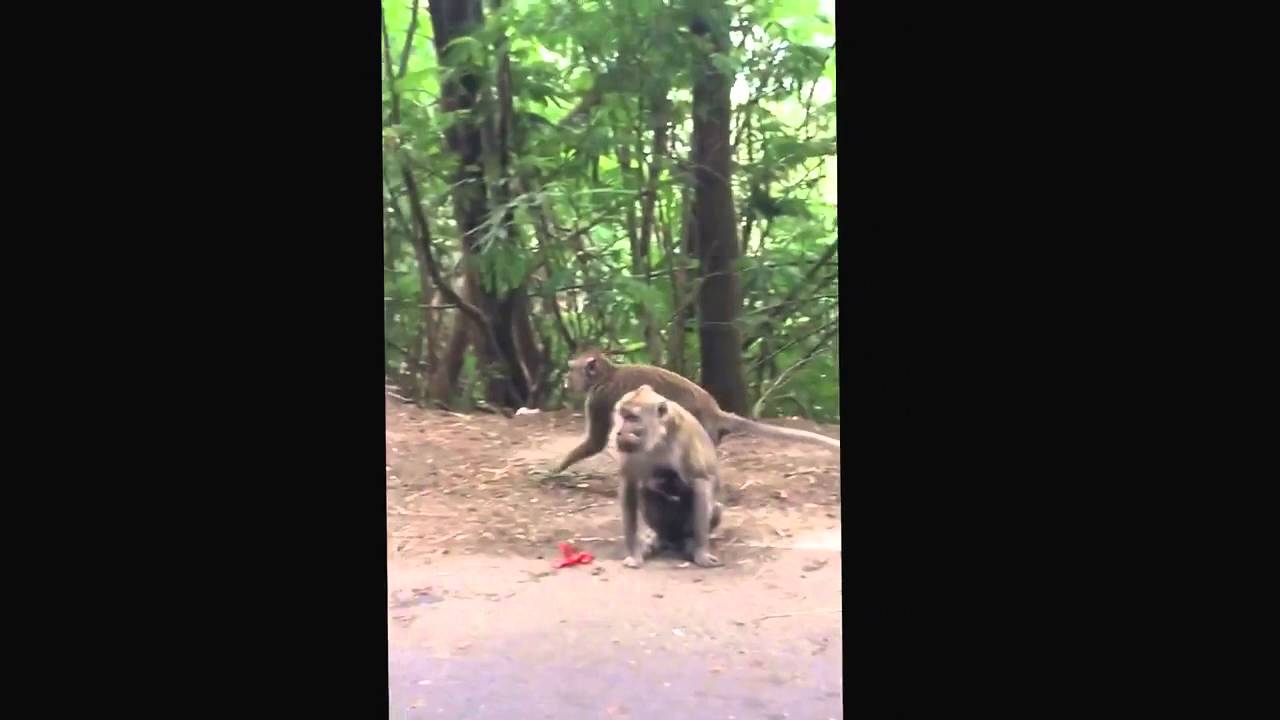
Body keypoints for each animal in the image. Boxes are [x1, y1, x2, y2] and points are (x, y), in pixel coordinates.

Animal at [554, 349, 840, 473]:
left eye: (571, 369)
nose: (565, 380)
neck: (607, 375)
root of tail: (713, 409)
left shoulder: (599, 399)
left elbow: (595, 442)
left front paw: (557, 468)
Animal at [613, 385, 724, 569]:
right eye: (622, 416)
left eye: (632, 418)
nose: (620, 433)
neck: (659, 436)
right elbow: (629, 483)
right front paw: (635, 554)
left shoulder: (685, 435)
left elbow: (700, 481)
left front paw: (701, 553)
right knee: (647, 493)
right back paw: (660, 539)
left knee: (714, 509)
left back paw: (689, 542)